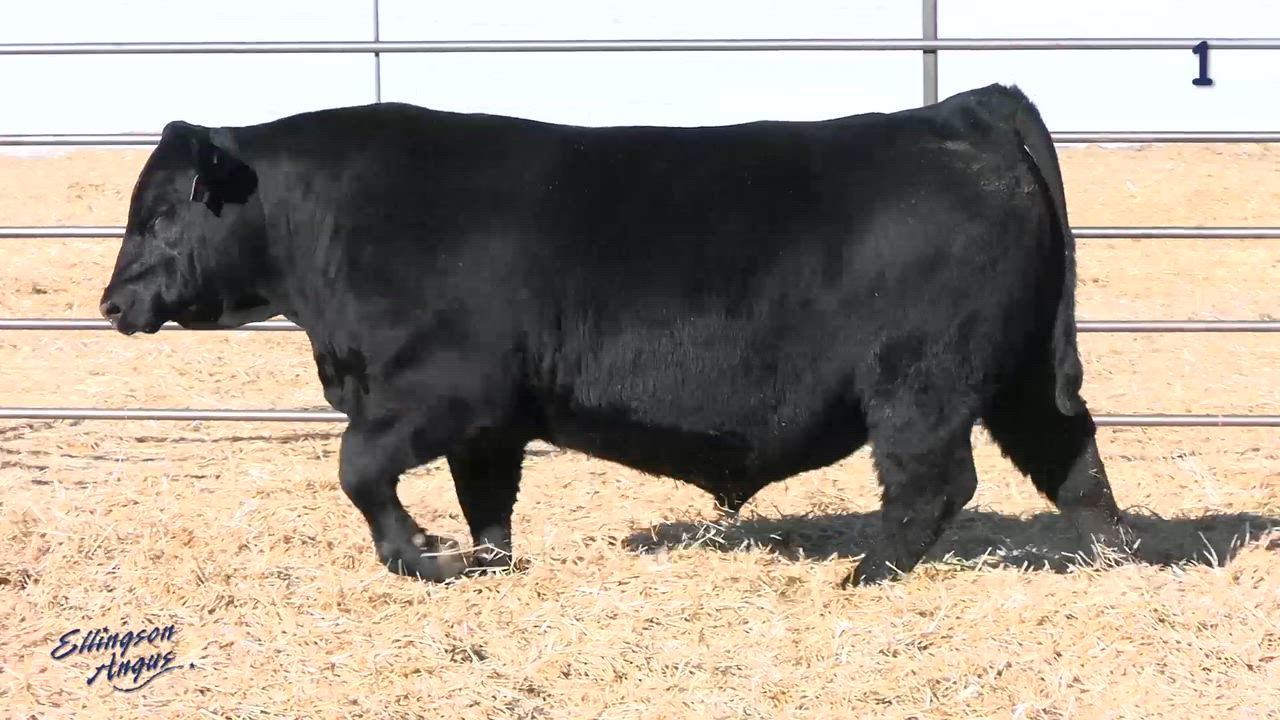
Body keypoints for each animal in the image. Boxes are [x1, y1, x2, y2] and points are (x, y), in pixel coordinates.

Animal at [98, 83, 1134, 588]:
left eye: (159, 213)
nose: (111, 303)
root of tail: (962, 110)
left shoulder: (439, 388)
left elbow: (358, 468)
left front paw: (419, 556)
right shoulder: (491, 419)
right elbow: (488, 503)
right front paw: (481, 563)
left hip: (922, 382)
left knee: (932, 483)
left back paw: (865, 576)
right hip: (1024, 375)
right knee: (1073, 461)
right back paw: (1114, 561)